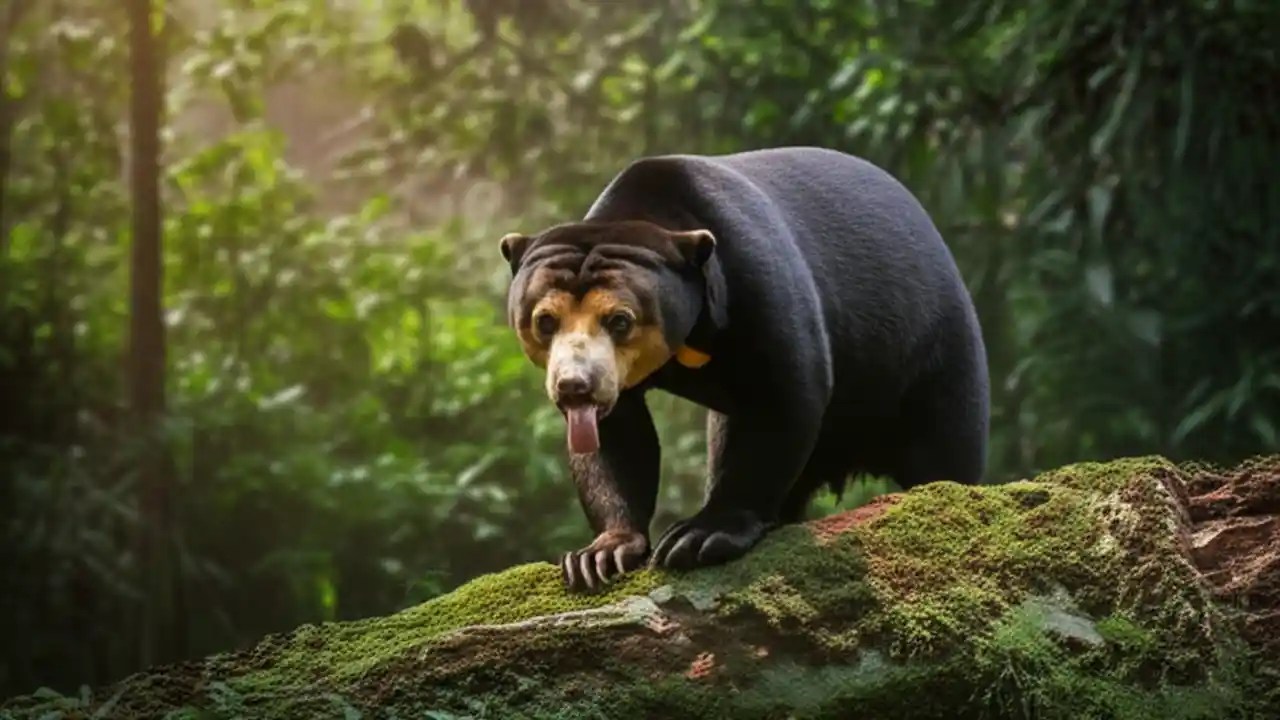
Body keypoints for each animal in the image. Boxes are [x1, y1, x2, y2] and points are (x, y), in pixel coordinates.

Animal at [499, 146, 989, 592]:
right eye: (545, 321)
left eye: (620, 320)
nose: (575, 386)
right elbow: (617, 434)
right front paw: (599, 555)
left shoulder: (753, 278)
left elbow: (785, 391)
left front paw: (697, 537)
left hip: (935, 351)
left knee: (945, 444)